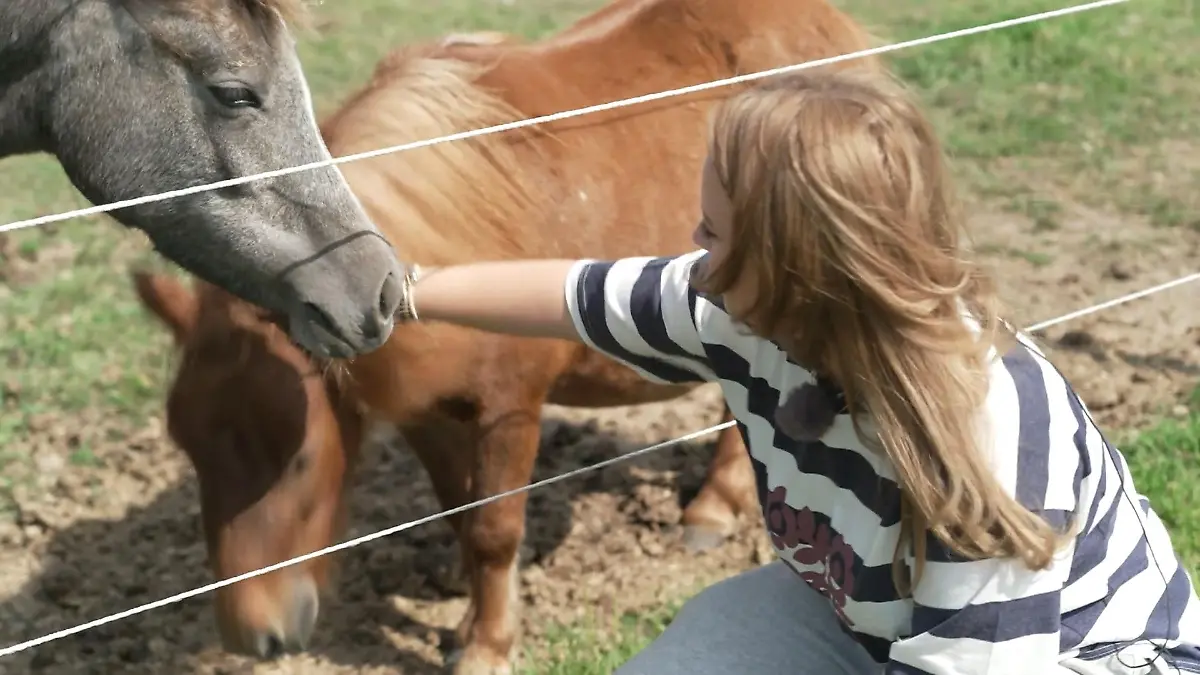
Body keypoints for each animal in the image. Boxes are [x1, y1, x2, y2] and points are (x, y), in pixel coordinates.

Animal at [133, 0, 881, 671]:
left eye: (299, 461)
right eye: (190, 452)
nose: (254, 636)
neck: (455, 226)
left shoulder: (510, 409)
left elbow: (495, 531)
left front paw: (488, 646)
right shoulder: (422, 411)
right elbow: (459, 514)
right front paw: (466, 614)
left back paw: (715, 508)